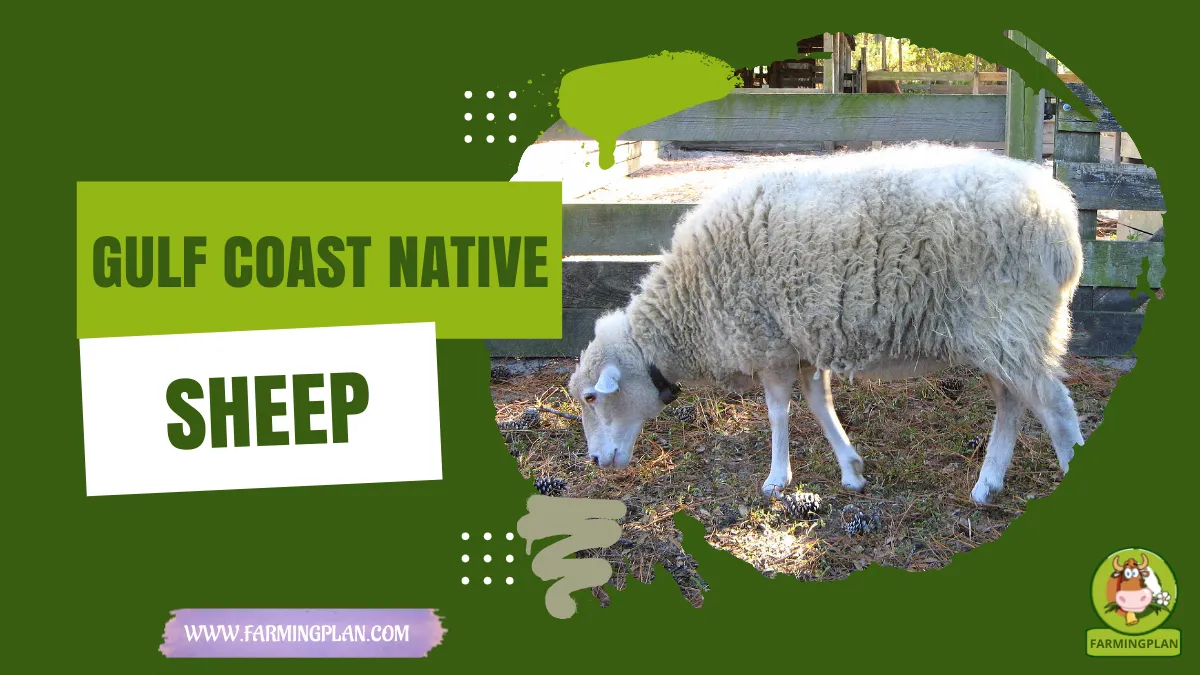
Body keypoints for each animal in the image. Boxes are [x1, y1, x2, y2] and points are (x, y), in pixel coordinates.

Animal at [566, 142, 1087, 505]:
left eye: (592, 397)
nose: (595, 460)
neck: (690, 305)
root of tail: (1060, 215)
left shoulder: (771, 344)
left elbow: (778, 413)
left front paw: (777, 479)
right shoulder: (804, 344)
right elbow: (820, 406)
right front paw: (851, 470)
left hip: (1012, 322)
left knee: (1055, 408)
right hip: (1001, 334)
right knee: (1013, 402)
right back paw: (987, 484)